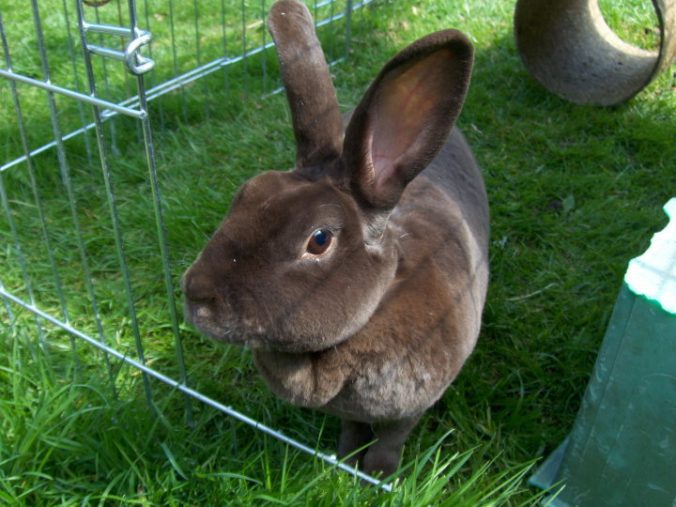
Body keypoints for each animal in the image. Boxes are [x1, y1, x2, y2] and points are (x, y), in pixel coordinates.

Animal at [182, 0, 489, 478]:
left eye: (320, 239)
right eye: (247, 192)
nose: (197, 298)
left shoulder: (409, 410)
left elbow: (391, 440)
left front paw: (376, 475)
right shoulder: (349, 411)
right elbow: (352, 428)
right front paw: (345, 461)